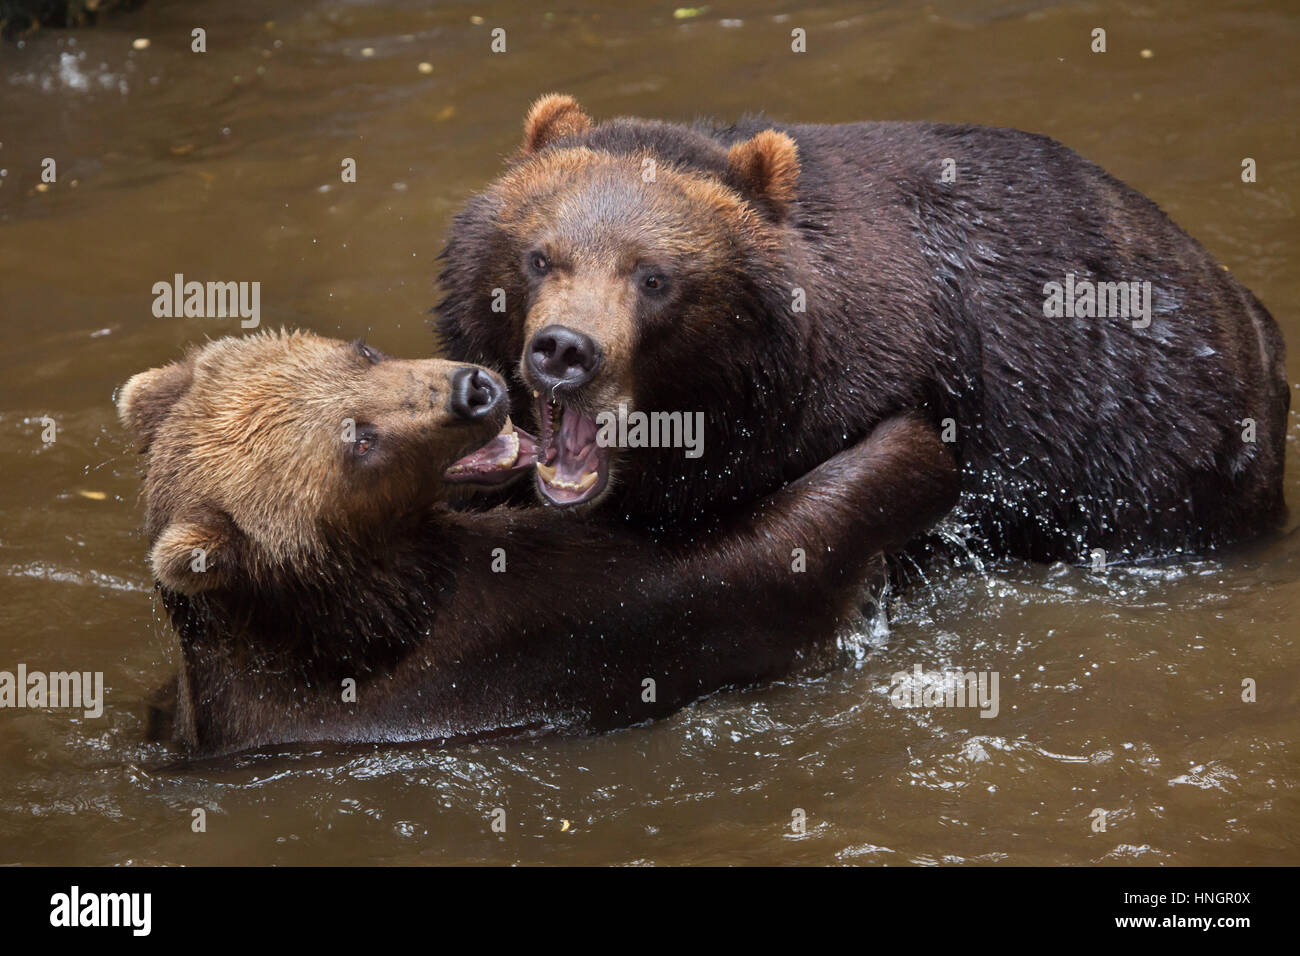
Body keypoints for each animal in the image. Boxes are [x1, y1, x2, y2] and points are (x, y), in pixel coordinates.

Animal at [117, 330, 957, 757]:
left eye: (361, 351)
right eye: (357, 440)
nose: (474, 390)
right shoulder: (522, 630)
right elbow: (752, 568)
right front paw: (909, 448)